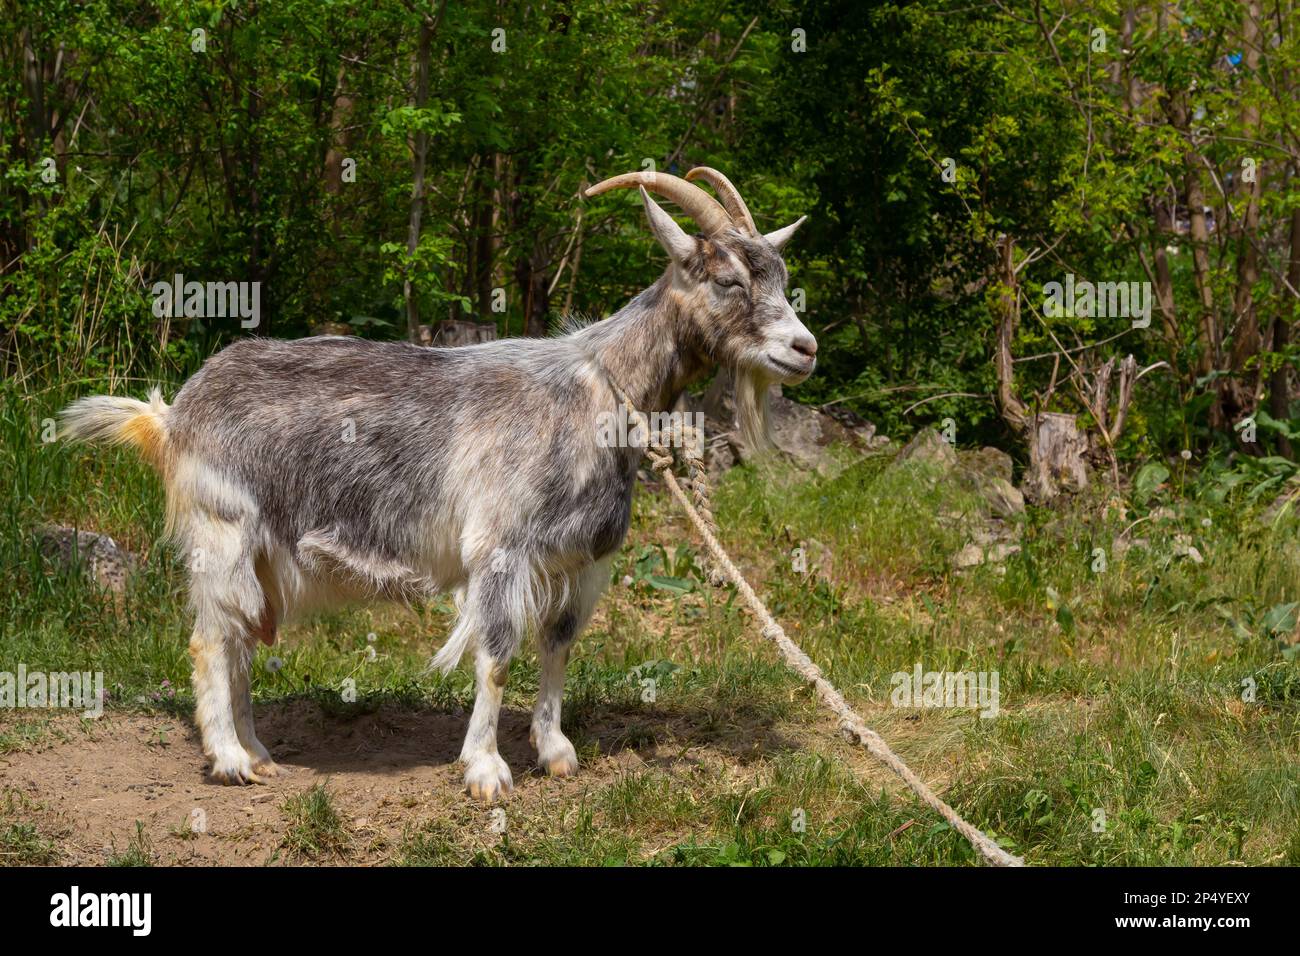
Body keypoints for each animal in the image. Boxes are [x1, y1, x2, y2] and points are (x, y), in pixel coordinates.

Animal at [60, 167, 816, 799]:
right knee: (211, 640)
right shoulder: (501, 549)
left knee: (242, 639)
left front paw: (555, 751)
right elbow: (497, 656)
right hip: (221, 531)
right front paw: (486, 769)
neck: (597, 389)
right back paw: (229, 761)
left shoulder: (583, 561)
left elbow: (558, 645)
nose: (804, 349)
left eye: (780, 277)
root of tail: (171, 417)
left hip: (262, 555)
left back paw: (261, 754)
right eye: (726, 279)